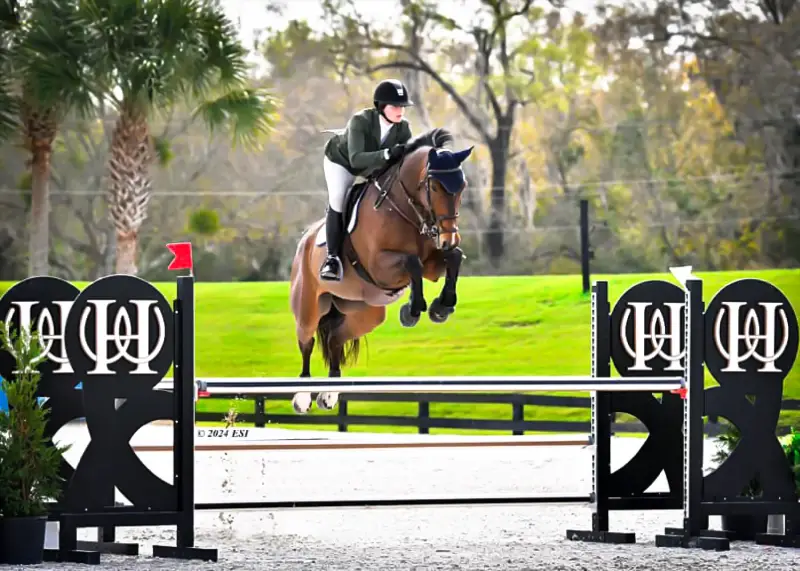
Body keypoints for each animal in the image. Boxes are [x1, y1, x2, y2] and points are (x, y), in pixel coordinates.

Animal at [288, 127, 473, 413]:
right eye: (434, 186)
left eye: (461, 186)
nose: (449, 238)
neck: (407, 208)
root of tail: (304, 241)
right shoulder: (380, 266)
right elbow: (412, 262)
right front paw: (412, 310)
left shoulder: (433, 263)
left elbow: (452, 259)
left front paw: (441, 307)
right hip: (308, 306)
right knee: (307, 343)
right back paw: (302, 396)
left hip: (365, 313)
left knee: (335, 339)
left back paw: (329, 394)